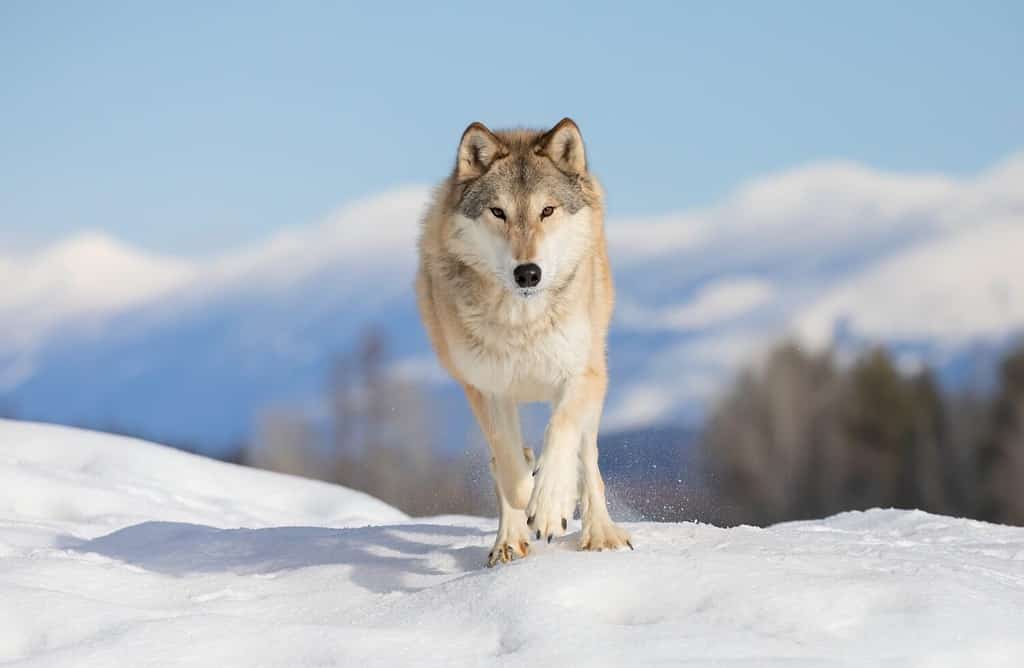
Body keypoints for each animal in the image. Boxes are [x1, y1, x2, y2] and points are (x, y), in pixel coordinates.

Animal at [416, 118, 632, 566]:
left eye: (547, 210)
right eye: (498, 212)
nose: (528, 273)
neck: (522, 323)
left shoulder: (581, 374)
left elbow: (562, 432)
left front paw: (550, 505)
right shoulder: (487, 388)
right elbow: (511, 471)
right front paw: (529, 502)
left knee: (588, 460)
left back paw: (599, 532)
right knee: (504, 459)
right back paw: (508, 541)